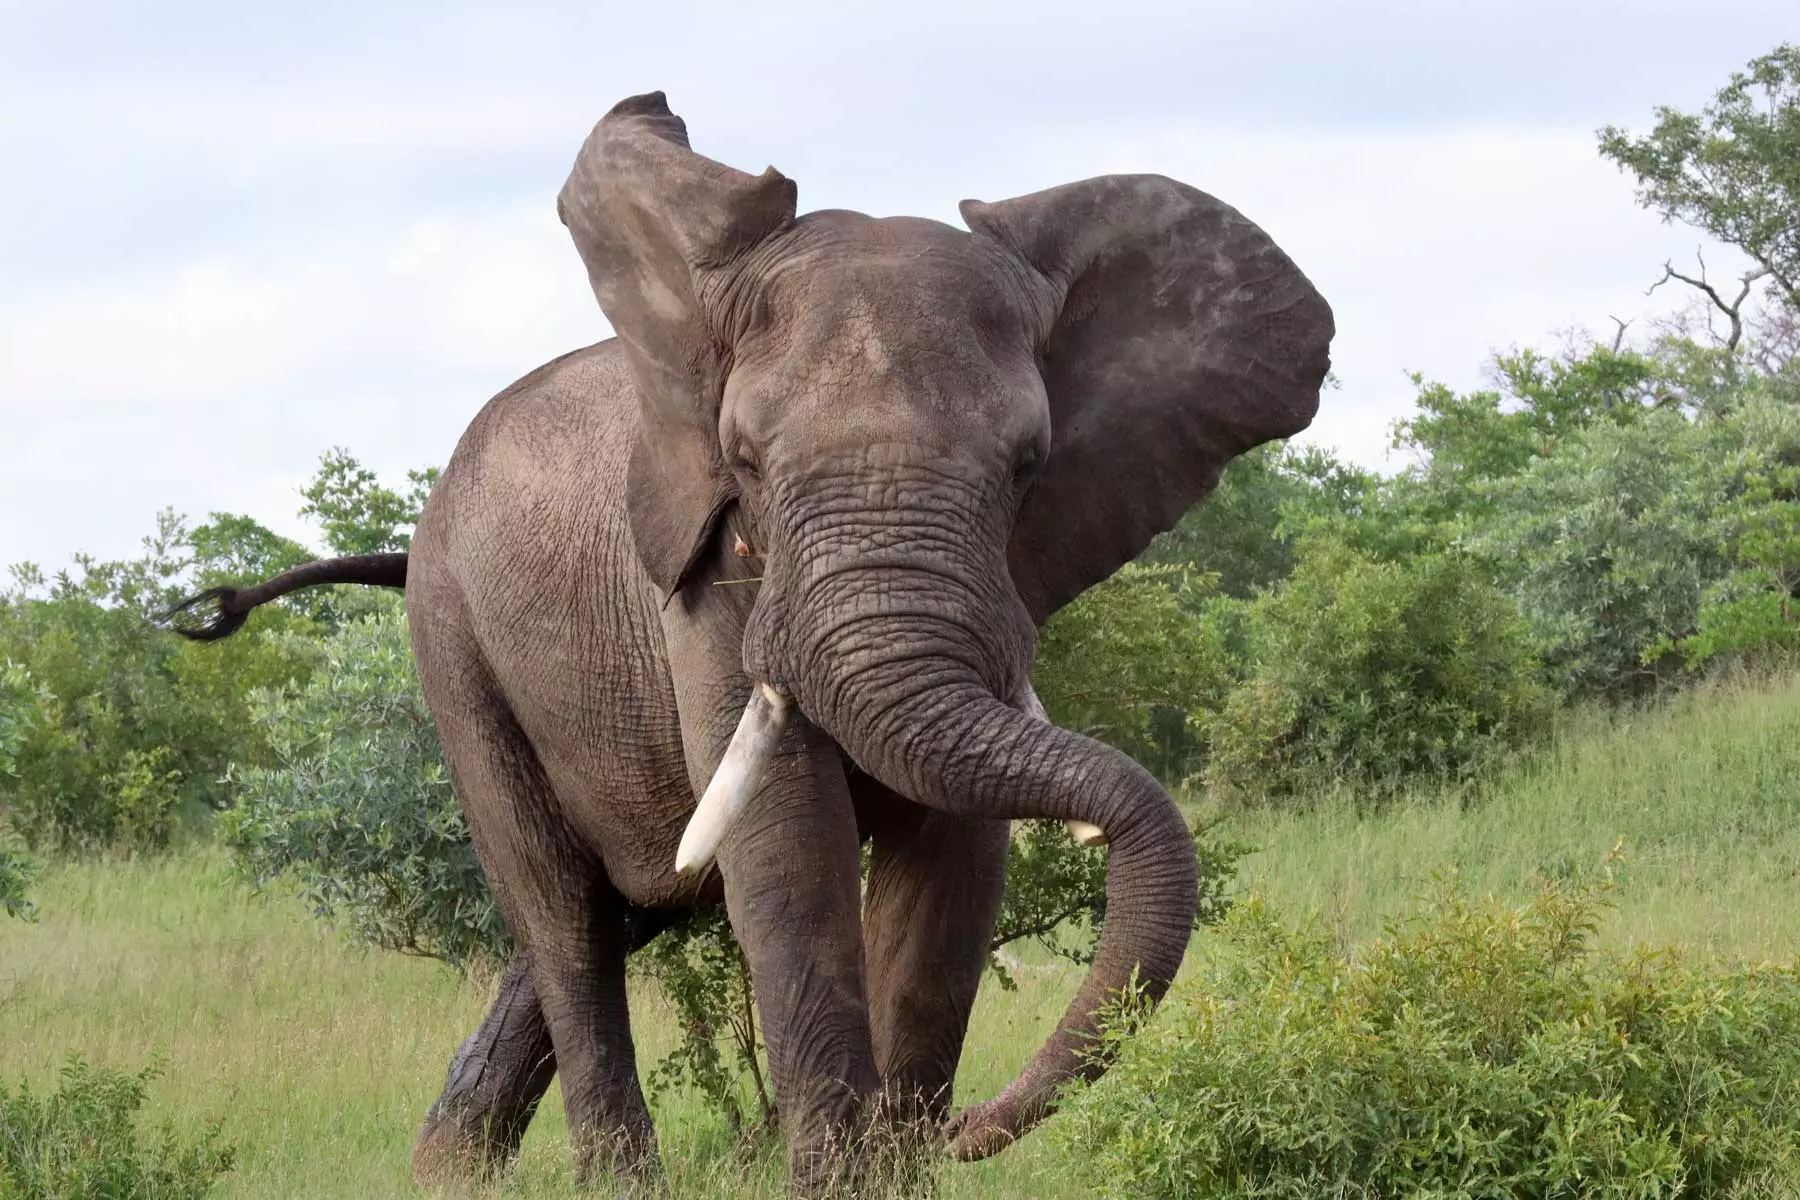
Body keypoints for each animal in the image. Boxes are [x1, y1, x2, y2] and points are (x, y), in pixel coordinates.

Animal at [175, 94, 1339, 1194]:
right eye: (743, 460)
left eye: (1028, 465)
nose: (960, 1130)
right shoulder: (698, 584)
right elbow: (786, 839)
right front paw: (842, 1180)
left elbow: (952, 858)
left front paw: (896, 1175)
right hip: (454, 644)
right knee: (564, 914)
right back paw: (608, 1180)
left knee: (624, 903)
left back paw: (448, 1170)